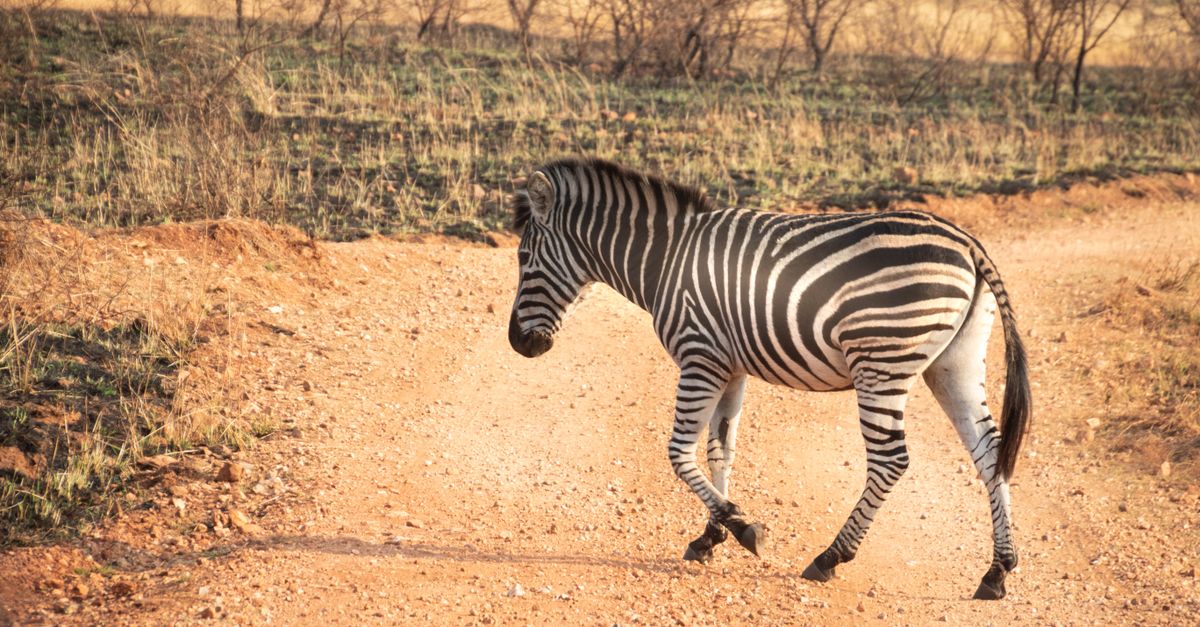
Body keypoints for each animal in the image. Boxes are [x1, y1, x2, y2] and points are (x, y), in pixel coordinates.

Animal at [506, 157, 1031, 600]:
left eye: (524, 258)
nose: (517, 344)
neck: (664, 260)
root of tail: (966, 242)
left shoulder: (700, 356)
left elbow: (678, 453)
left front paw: (742, 528)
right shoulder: (729, 366)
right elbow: (720, 449)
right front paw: (711, 535)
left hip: (880, 361)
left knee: (891, 461)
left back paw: (831, 557)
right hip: (954, 362)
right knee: (990, 452)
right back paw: (997, 571)